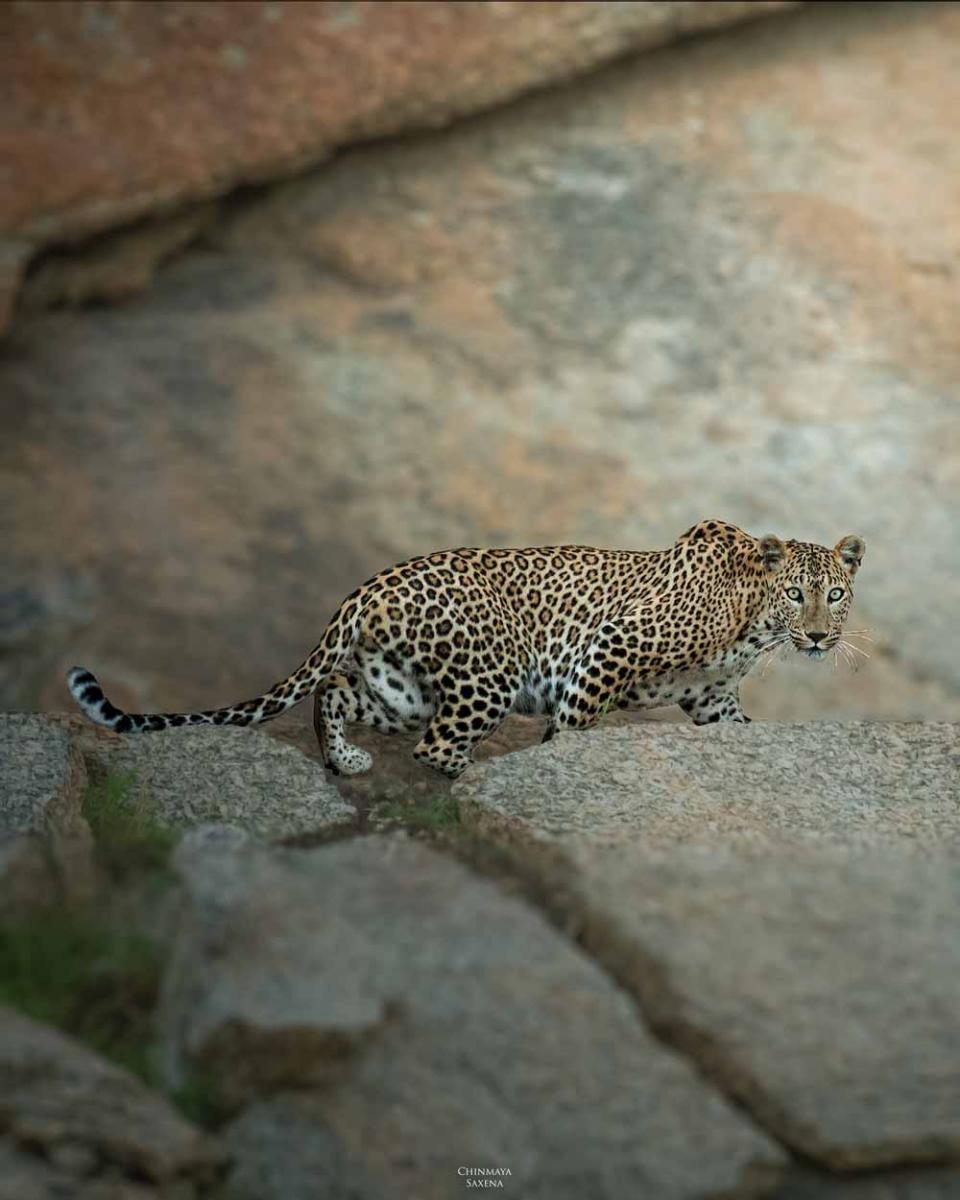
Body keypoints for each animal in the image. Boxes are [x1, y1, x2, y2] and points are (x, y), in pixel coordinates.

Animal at [68, 519, 865, 779]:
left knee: (335, 692)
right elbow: (573, 722)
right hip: (488, 676)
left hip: (401, 687)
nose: (820, 636)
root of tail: (369, 586)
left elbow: (739, 728)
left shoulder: (712, 701)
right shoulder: (611, 648)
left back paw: (347, 761)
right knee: (436, 746)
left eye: (836, 593)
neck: (754, 624)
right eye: (798, 593)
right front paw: (551, 764)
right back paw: (465, 777)